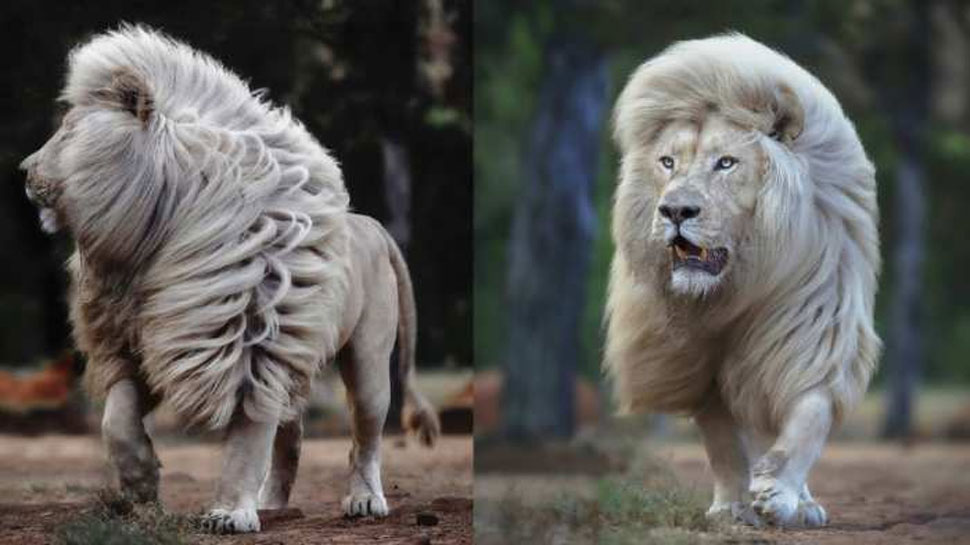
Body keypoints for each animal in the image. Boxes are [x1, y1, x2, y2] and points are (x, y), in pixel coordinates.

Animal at [20, 26, 439, 534]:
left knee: (366, 436)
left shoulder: (251, 347)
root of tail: (373, 225)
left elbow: (246, 441)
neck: (149, 243)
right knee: (292, 436)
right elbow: (115, 424)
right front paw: (141, 489)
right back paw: (272, 503)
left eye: (68, 130)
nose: (23, 170)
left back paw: (363, 500)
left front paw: (230, 513)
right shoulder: (141, 342)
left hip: (368, 359)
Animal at [605, 34, 880, 528]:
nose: (675, 211)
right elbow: (724, 444)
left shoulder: (816, 334)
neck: (737, 288)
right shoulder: (696, 363)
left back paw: (802, 504)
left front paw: (779, 495)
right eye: (667, 162)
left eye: (726, 163)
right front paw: (732, 507)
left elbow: (808, 418)